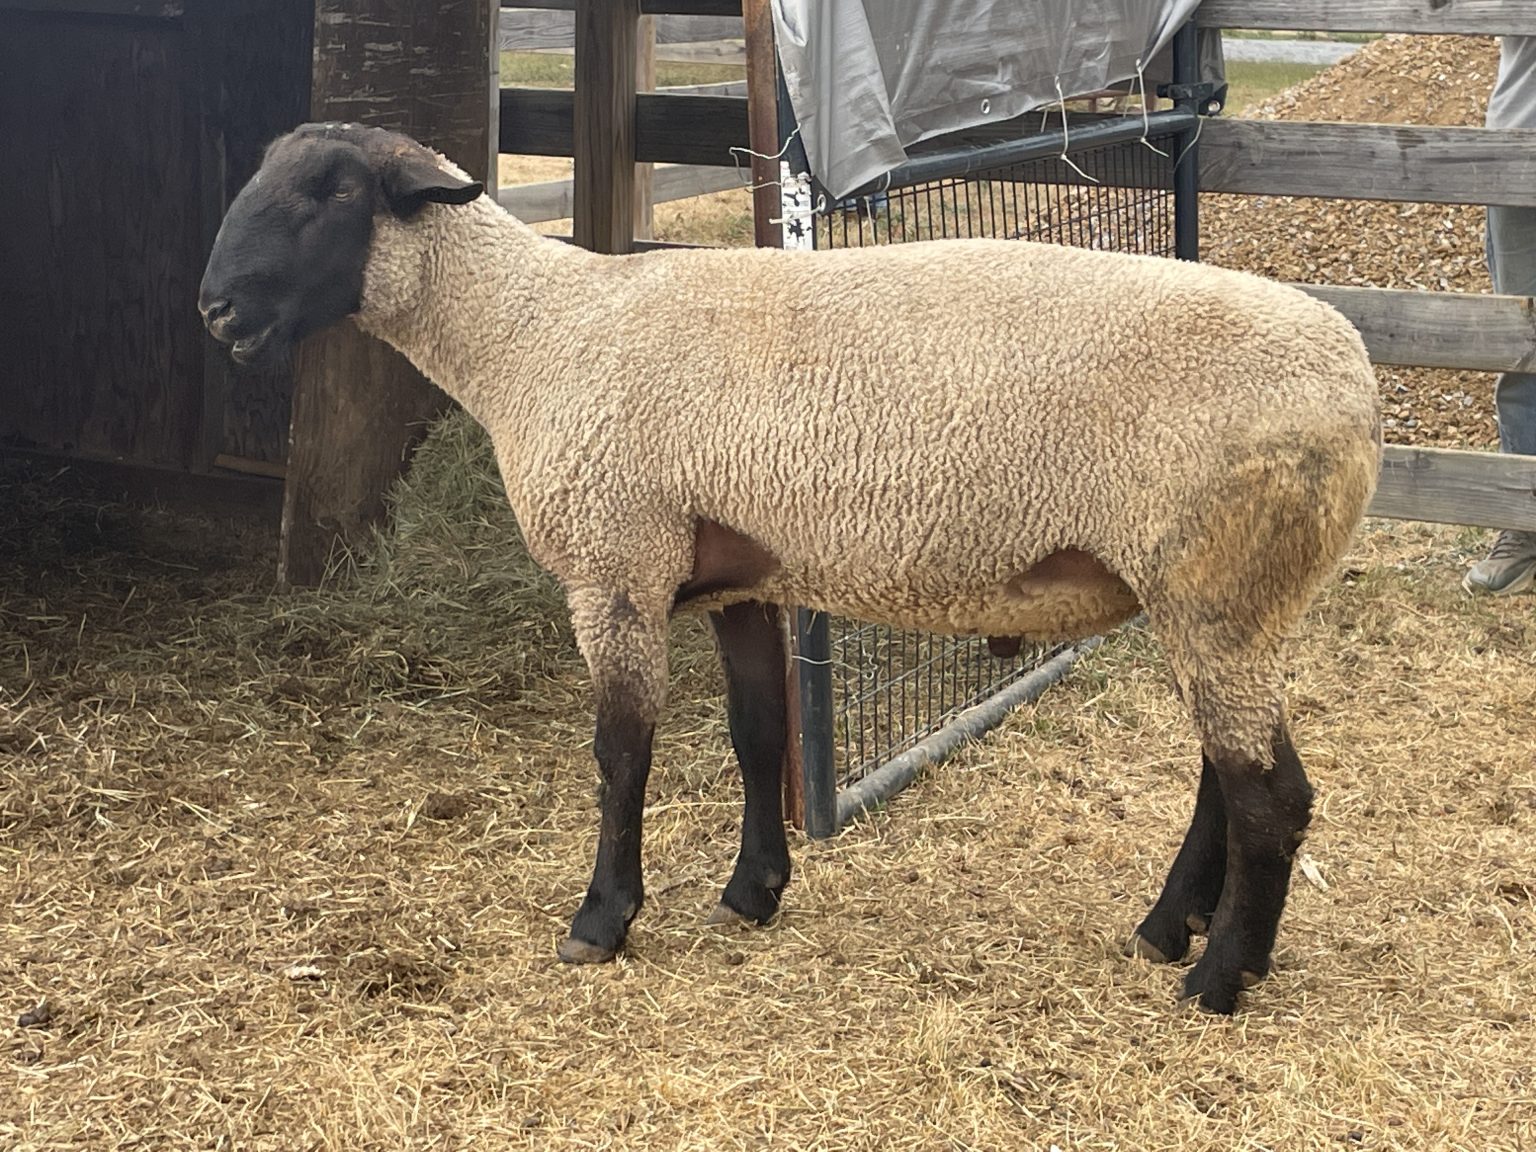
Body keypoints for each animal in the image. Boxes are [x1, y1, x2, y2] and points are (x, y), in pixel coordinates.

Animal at [199, 123, 1382, 1014]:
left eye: (335, 190)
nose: (216, 310)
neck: (530, 335)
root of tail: (1358, 388)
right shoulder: (738, 573)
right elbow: (759, 733)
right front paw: (753, 892)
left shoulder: (616, 563)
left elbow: (620, 752)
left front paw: (600, 921)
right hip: (1224, 594)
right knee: (1228, 775)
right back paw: (1169, 928)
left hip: (1217, 578)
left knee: (1272, 794)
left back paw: (1219, 980)